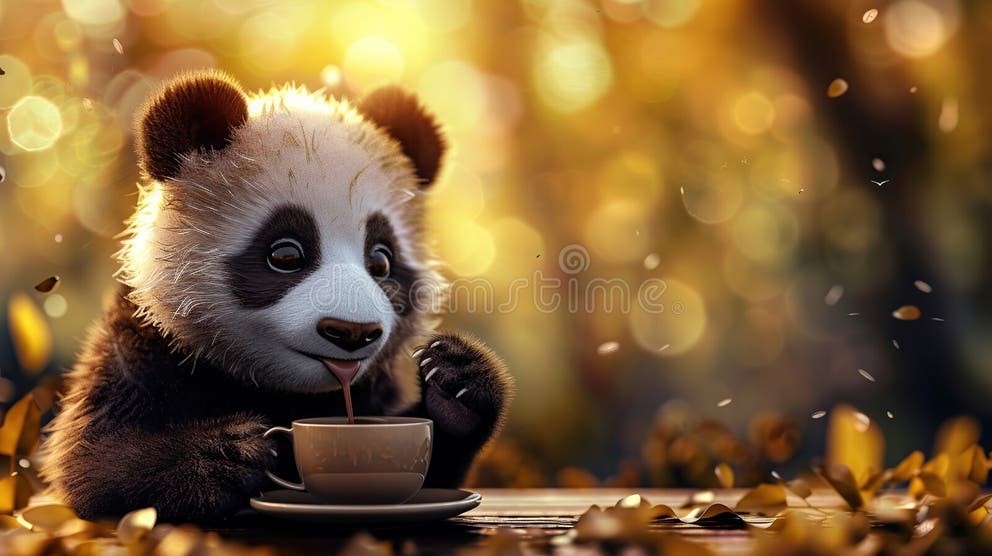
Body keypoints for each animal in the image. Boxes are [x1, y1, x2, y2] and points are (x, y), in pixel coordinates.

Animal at [39, 70, 513, 521]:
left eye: (381, 260)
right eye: (286, 254)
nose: (352, 332)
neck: (277, 388)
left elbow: (433, 462)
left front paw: (457, 384)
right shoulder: (140, 346)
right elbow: (93, 463)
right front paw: (224, 455)